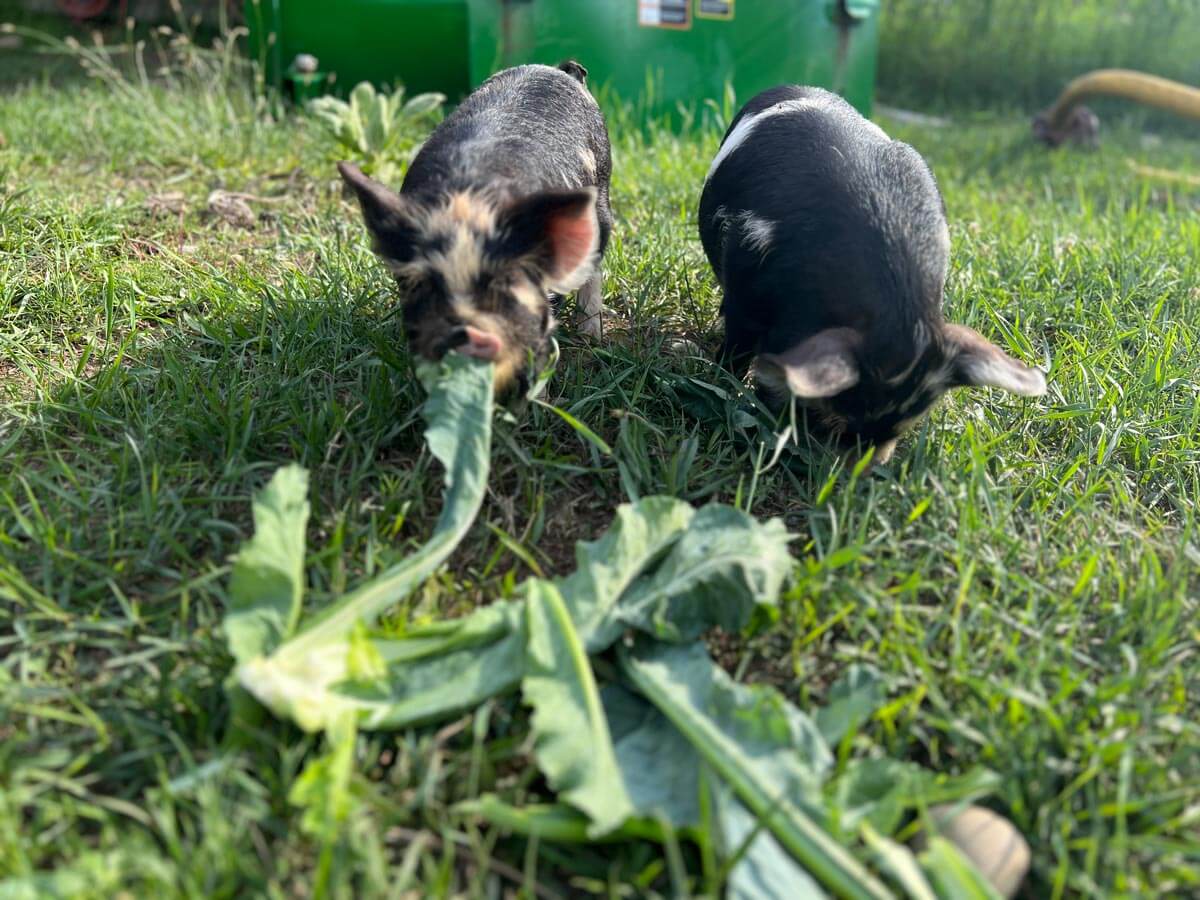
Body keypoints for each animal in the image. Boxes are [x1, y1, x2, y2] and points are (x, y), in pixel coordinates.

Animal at [339, 61, 613, 394]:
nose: (467, 337)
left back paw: (591, 337)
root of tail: (559, 69)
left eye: (504, 283)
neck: (467, 199)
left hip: (602, 189)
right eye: (421, 284)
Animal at [698, 85, 1047, 464]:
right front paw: (724, 379)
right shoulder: (745, 265)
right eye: (843, 410)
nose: (864, 466)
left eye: (903, 425)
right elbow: (739, 344)